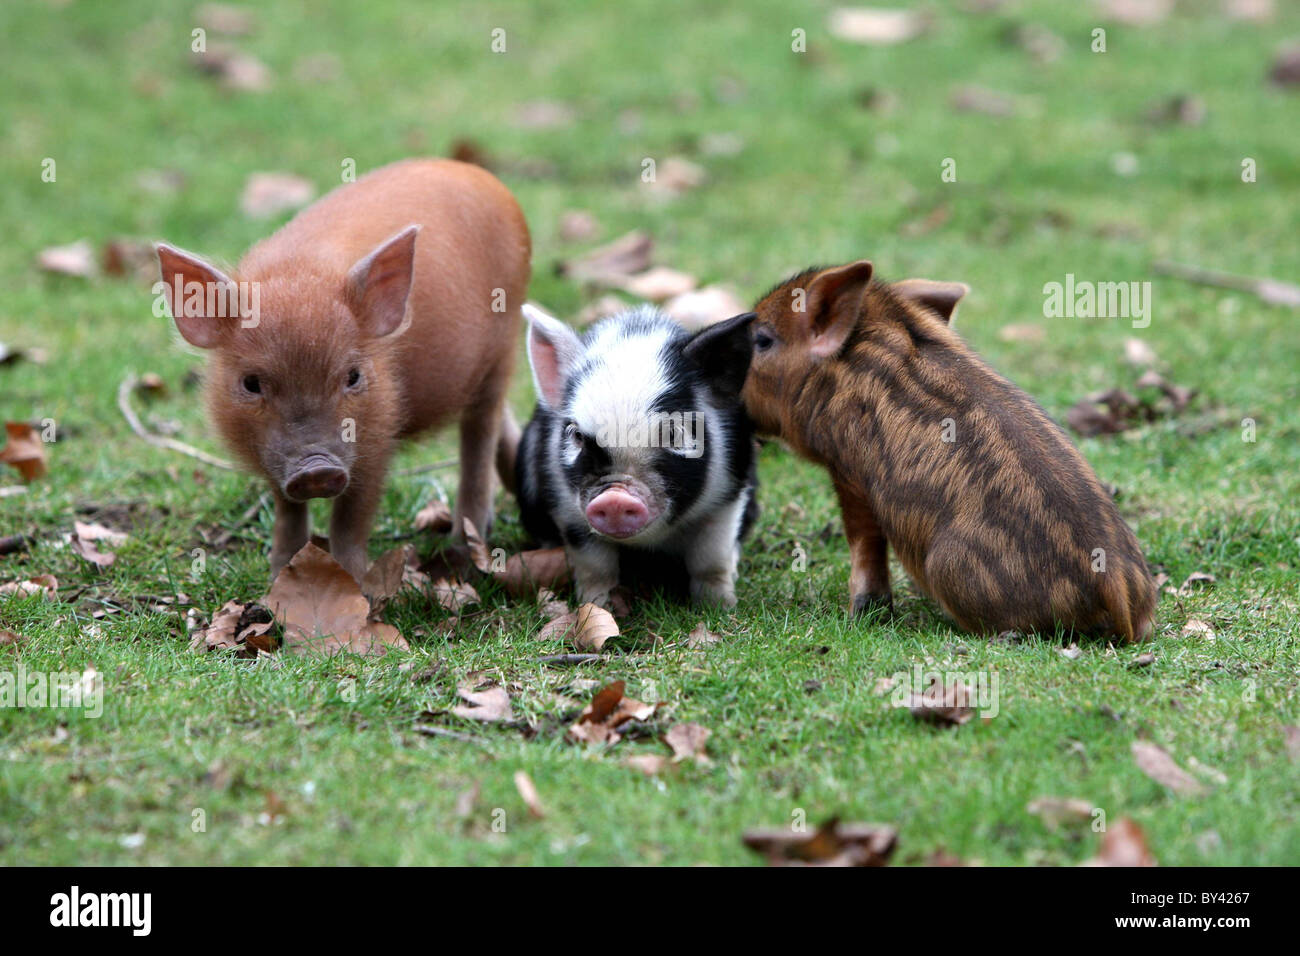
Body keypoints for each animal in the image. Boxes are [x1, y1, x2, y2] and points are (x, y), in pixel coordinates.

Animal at [155, 158, 530, 582]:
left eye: (352, 376)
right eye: (251, 383)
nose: (315, 467)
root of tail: (478, 174)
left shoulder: (378, 434)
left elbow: (352, 518)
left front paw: (353, 587)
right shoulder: (270, 455)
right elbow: (287, 512)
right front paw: (278, 578)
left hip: (504, 346)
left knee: (480, 433)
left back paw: (464, 555)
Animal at [516, 305, 759, 608]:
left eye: (674, 434)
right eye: (577, 436)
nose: (615, 498)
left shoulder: (728, 496)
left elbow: (712, 558)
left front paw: (720, 607)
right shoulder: (566, 508)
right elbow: (594, 565)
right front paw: (596, 607)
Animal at [738, 261, 1157, 642]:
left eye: (763, 340)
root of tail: (1118, 590)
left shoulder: (851, 476)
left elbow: (865, 543)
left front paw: (861, 613)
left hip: (947, 565)